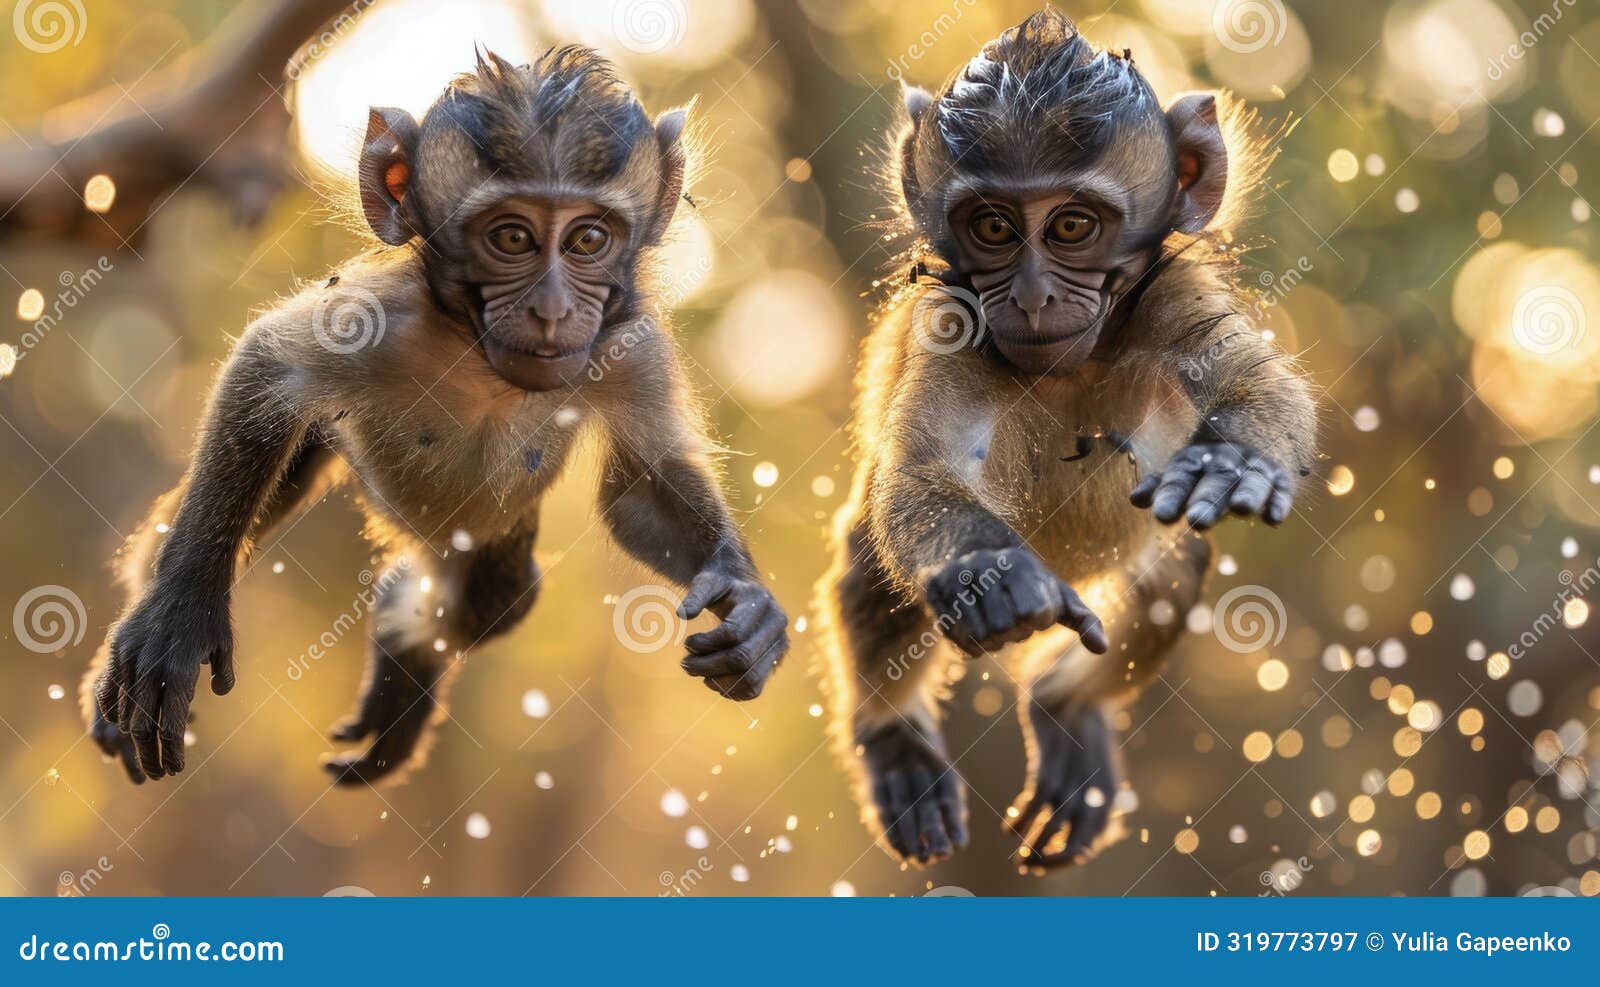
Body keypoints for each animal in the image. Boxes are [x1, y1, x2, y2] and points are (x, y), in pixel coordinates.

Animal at [79, 47, 788, 786]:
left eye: (590, 239)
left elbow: (642, 490)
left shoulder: (631, 343)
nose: (554, 310)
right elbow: (266, 369)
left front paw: (745, 603)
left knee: (498, 595)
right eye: (513, 237)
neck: (475, 354)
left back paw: (405, 655)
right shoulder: (373, 315)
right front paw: (179, 610)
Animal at [815, 10, 1316, 871]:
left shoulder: (1176, 298)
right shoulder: (947, 319)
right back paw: (893, 737)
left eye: (1073, 225)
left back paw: (1064, 709)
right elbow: (924, 472)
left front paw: (1236, 456)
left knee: (1171, 573)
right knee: (872, 567)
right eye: (992, 226)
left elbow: (1254, 386)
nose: (1030, 293)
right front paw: (993, 573)